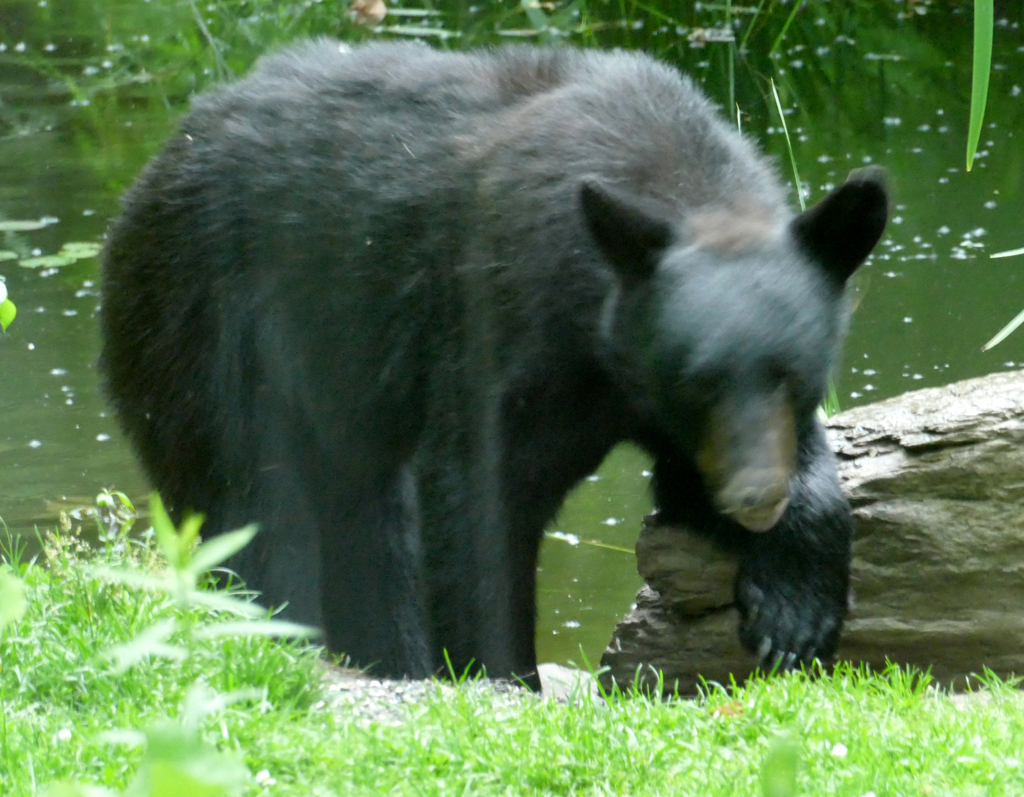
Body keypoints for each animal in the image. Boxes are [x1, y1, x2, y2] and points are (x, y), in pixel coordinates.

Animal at [100, 39, 888, 691]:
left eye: (793, 374)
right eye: (697, 381)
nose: (755, 498)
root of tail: (147, 179)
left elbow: (711, 477)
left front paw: (793, 609)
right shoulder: (502, 322)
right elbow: (478, 497)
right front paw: (502, 676)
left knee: (366, 523)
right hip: (204, 324)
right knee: (256, 503)